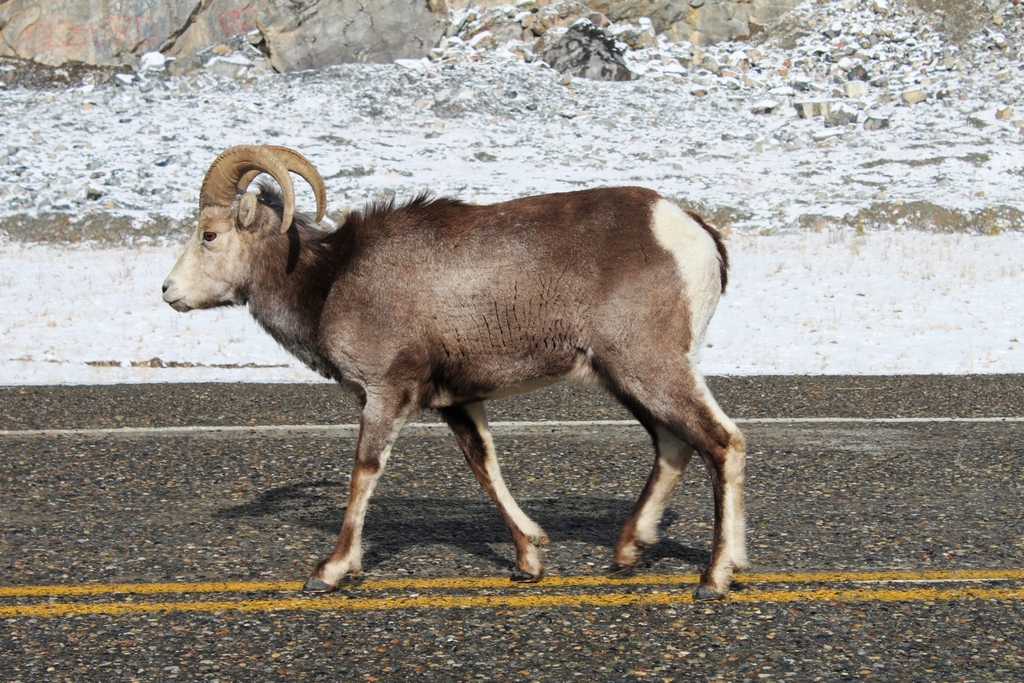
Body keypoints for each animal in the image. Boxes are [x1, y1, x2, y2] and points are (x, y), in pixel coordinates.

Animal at [162, 145, 747, 600]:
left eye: (209, 234)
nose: (168, 292)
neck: (330, 281)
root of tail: (693, 232)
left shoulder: (385, 394)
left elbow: (364, 472)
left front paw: (329, 572)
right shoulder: (458, 403)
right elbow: (485, 468)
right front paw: (529, 560)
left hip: (649, 367)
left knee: (722, 443)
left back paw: (715, 578)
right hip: (623, 378)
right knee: (673, 446)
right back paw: (628, 552)